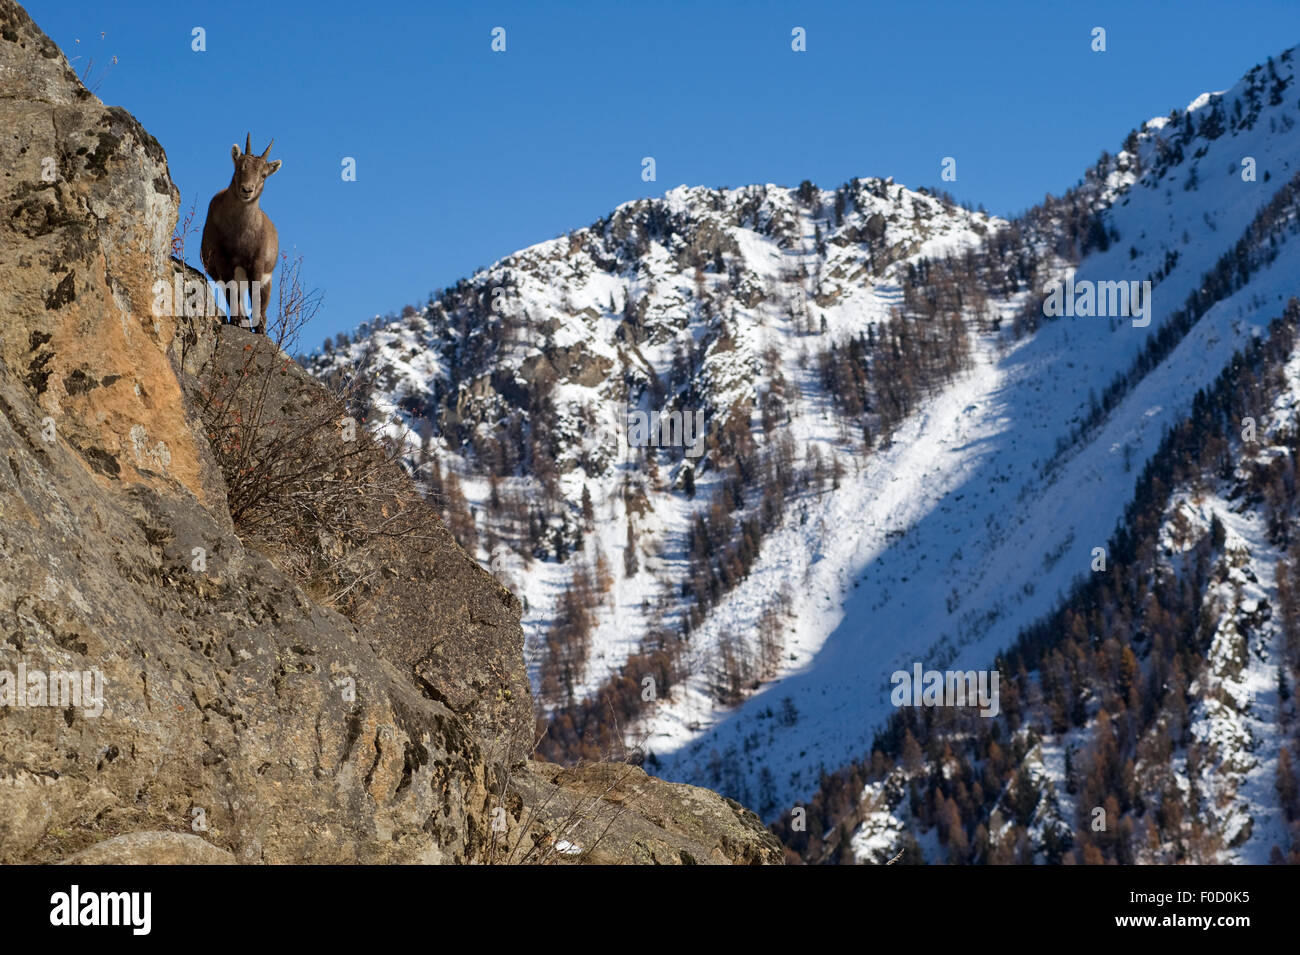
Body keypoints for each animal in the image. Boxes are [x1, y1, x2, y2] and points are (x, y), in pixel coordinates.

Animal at [200, 134, 281, 333]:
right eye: (239, 167)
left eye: (263, 175)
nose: (247, 190)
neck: (239, 235)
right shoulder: (222, 260)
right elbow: (232, 294)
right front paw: (237, 320)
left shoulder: (257, 263)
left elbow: (257, 296)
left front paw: (259, 328)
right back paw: (243, 320)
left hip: (267, 277)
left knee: (262, 299)